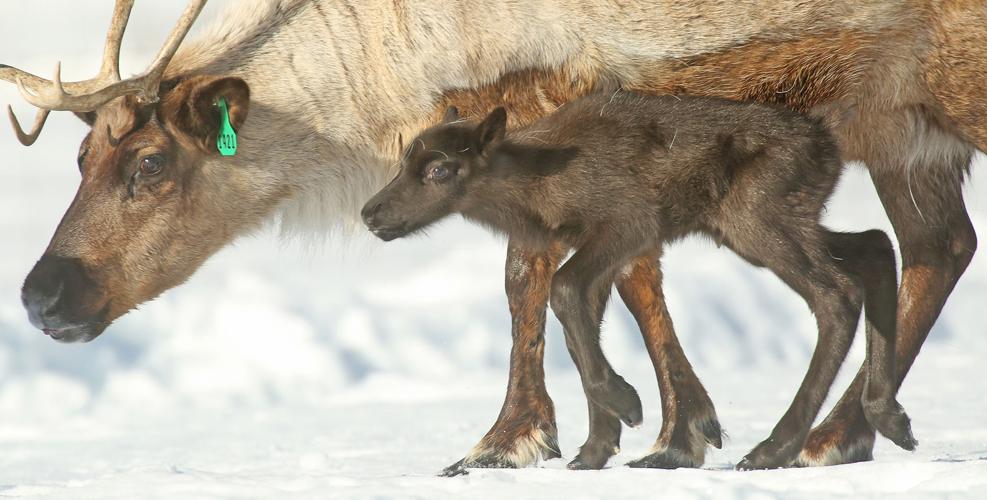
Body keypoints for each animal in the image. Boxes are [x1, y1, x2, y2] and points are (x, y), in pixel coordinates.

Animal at [362, 95, 918, 469]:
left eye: (440, 169)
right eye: (403, 159)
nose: (371, 213)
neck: (535, 189)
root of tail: (830, 147)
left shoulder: (628, 224)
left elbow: (564, 291)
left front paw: (627, 404)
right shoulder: (606, 250)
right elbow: (579, 318)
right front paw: (594, 448)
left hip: (757, 220)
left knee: (836, 294)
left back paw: (773, 449)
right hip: (776, 222)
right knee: (874, 246)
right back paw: (889, 416)